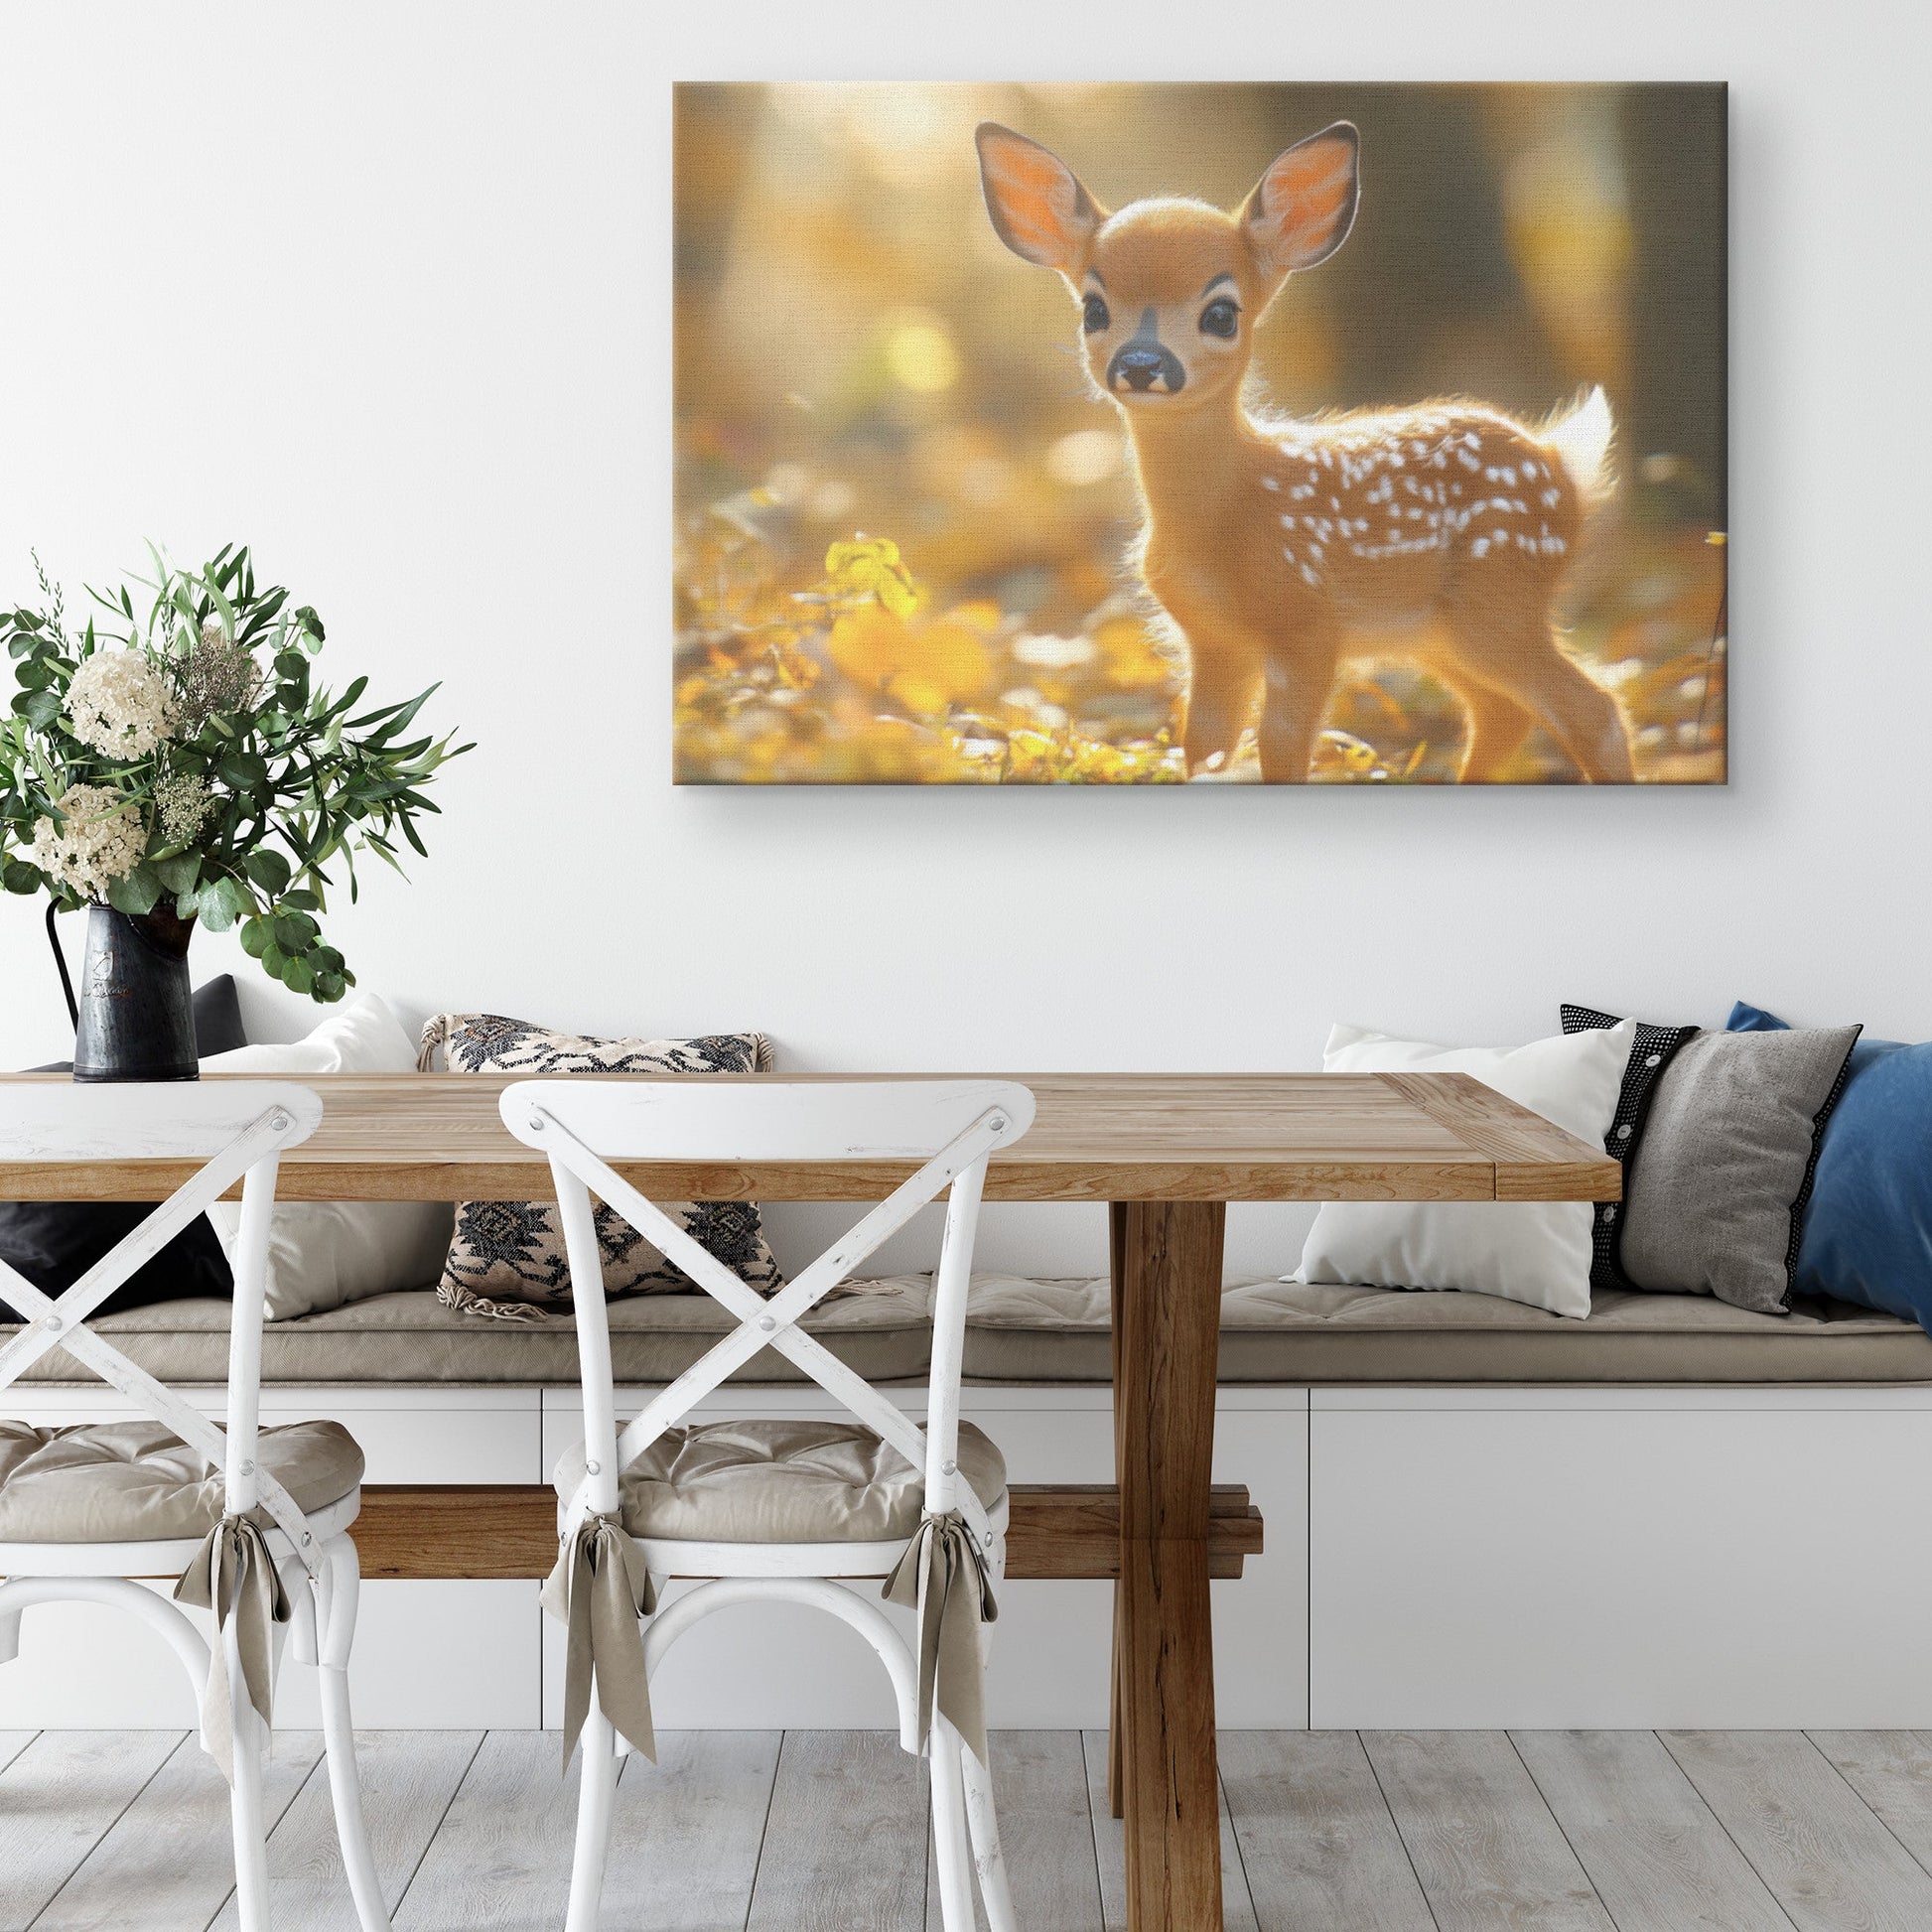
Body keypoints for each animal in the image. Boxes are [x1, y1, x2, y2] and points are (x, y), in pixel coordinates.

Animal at [974, 120, 1635, 783]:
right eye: (1094, 309)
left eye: (1221, 313)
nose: (1140, 364)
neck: (1222, 513)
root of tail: (1561, 462)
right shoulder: (1212, 637)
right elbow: (1204, 746)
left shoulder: (1306, 619)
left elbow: (1284, 745)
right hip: (1439, 629)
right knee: (1504, 713)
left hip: (1498, 594)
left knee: (1592, 707)